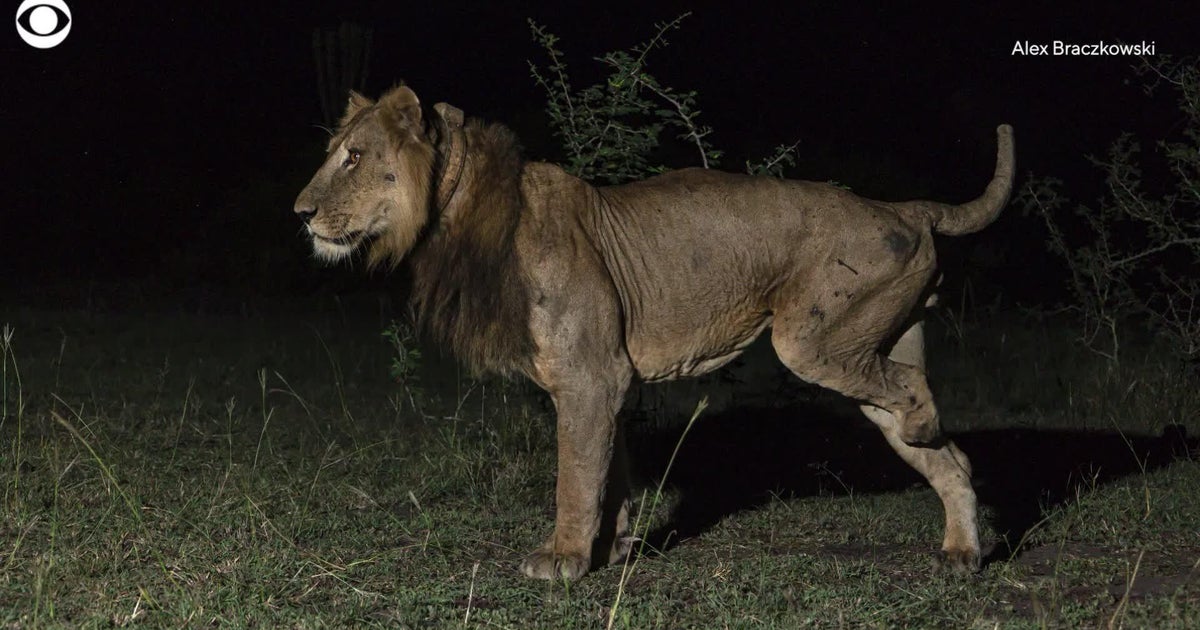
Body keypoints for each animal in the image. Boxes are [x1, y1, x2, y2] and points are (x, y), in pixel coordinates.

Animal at [294, 85, 1014, 580]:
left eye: (353, 158)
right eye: (335, 154)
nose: (299, 213)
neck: (460, 214)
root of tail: (902, 207)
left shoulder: (590, 377)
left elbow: (575, 475)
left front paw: (562, 559)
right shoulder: (608, 380)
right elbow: (609, 472)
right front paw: (610, 549)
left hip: (813, 341)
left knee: (914, 398)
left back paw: (927, 433)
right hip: (870, 343)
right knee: (950, 457)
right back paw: (961, 551)